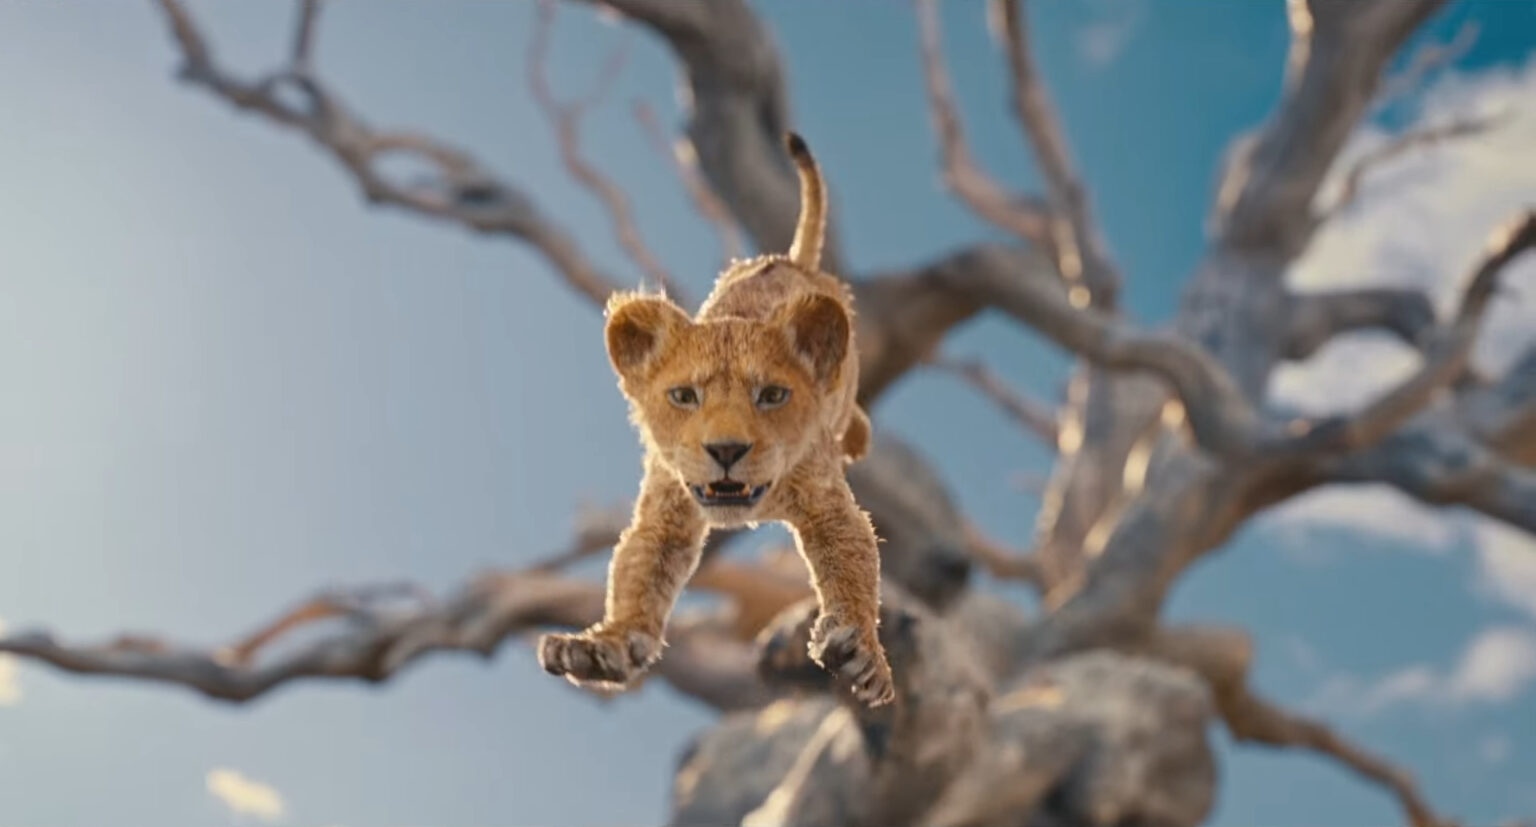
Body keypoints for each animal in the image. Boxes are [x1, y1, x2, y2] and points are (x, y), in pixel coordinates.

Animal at [537, 132, 894, 707]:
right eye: (684, 396)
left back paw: (858, 436)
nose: (726, 451)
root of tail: (786, 258)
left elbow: (853, 560)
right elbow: (639, 572)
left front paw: (861, 651)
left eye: (772, 395)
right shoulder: (669, 505)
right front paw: (602, 647)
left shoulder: (825, 499)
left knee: (849, 403)